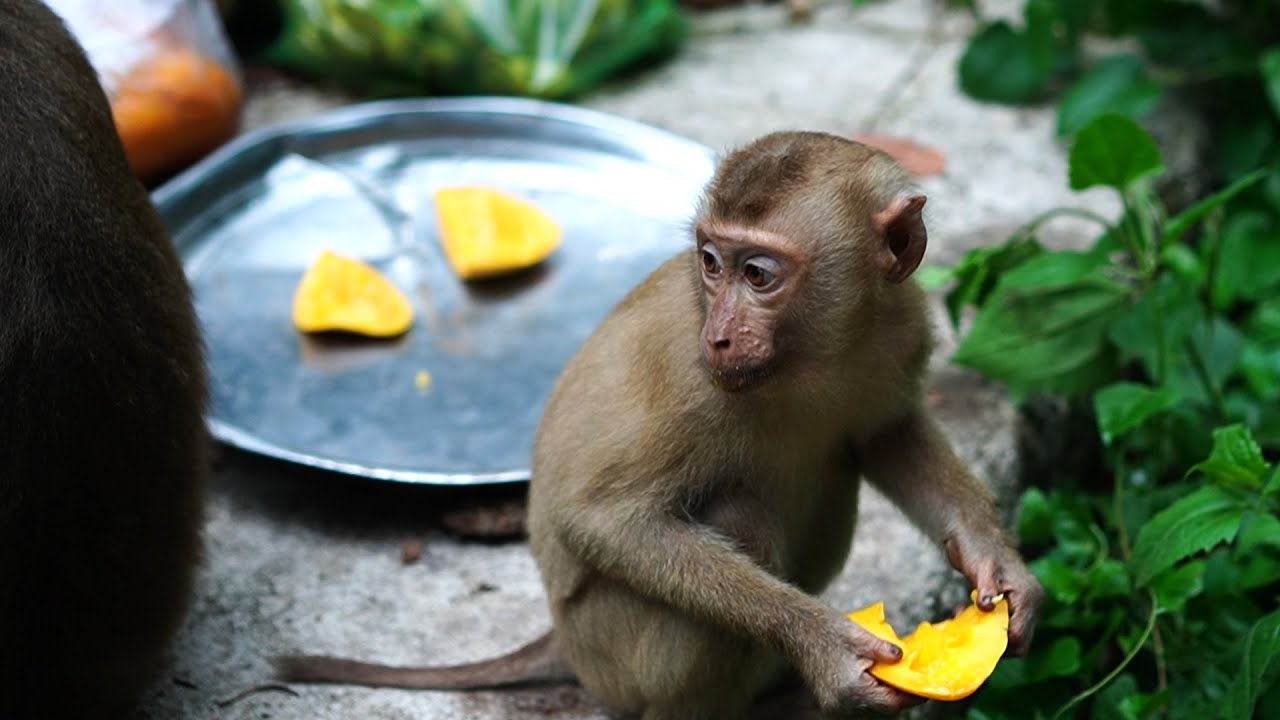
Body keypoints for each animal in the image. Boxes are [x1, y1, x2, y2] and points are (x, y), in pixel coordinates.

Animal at [276, 131, 1044, 719]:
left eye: (758, 273)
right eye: (711, 263)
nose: (722, 336)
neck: (813, 351)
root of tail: (561, 639)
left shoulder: (902, 325)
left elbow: (887, 436)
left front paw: (998, 563)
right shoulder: (693, 379)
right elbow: (604, 521)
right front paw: (822, 646)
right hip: (612, 652)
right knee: (733, 520)